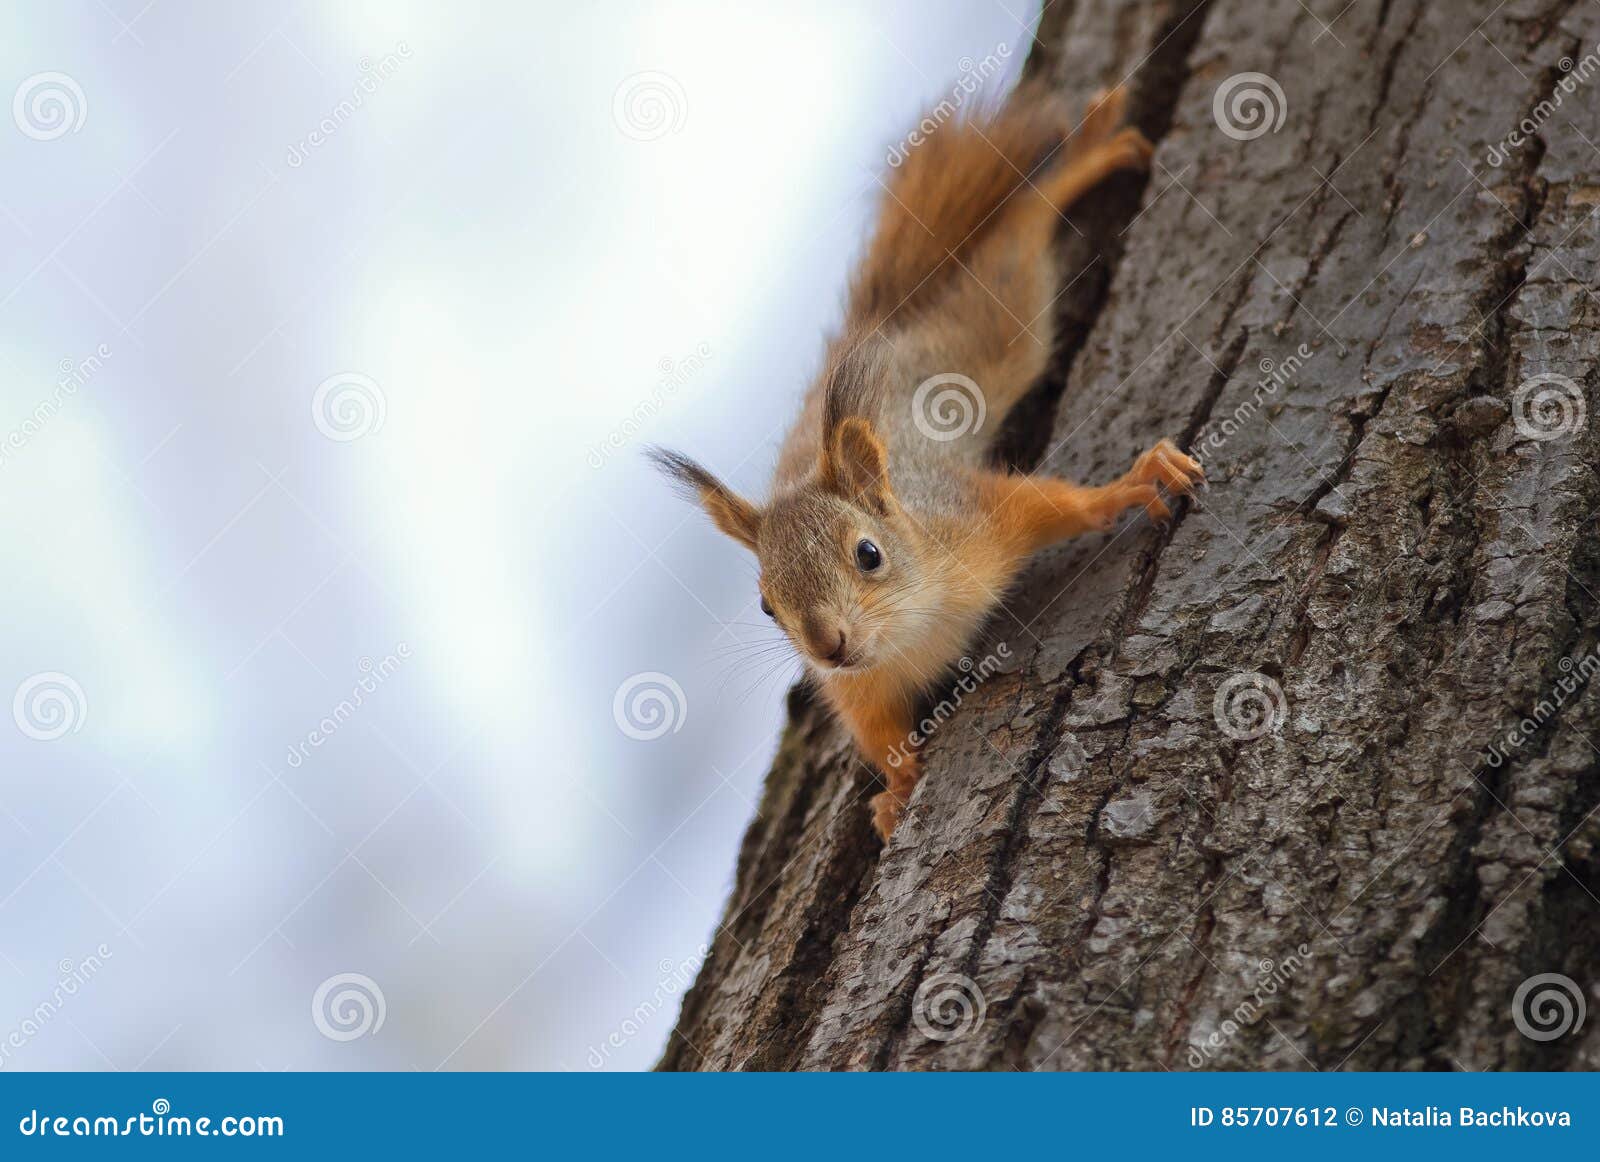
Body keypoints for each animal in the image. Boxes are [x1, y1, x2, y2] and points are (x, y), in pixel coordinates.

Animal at [651, 82, 1203, 841]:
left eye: (869, 555)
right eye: (766, 604)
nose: (828, 645)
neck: (909, 633)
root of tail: (887, 322)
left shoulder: (971, 520)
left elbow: (1054, 504)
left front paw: (1131, 482)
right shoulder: (859, 687)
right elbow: (875, 730)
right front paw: (895, 788)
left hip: (993, 324)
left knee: (1014, 239)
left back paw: (1085, 157)